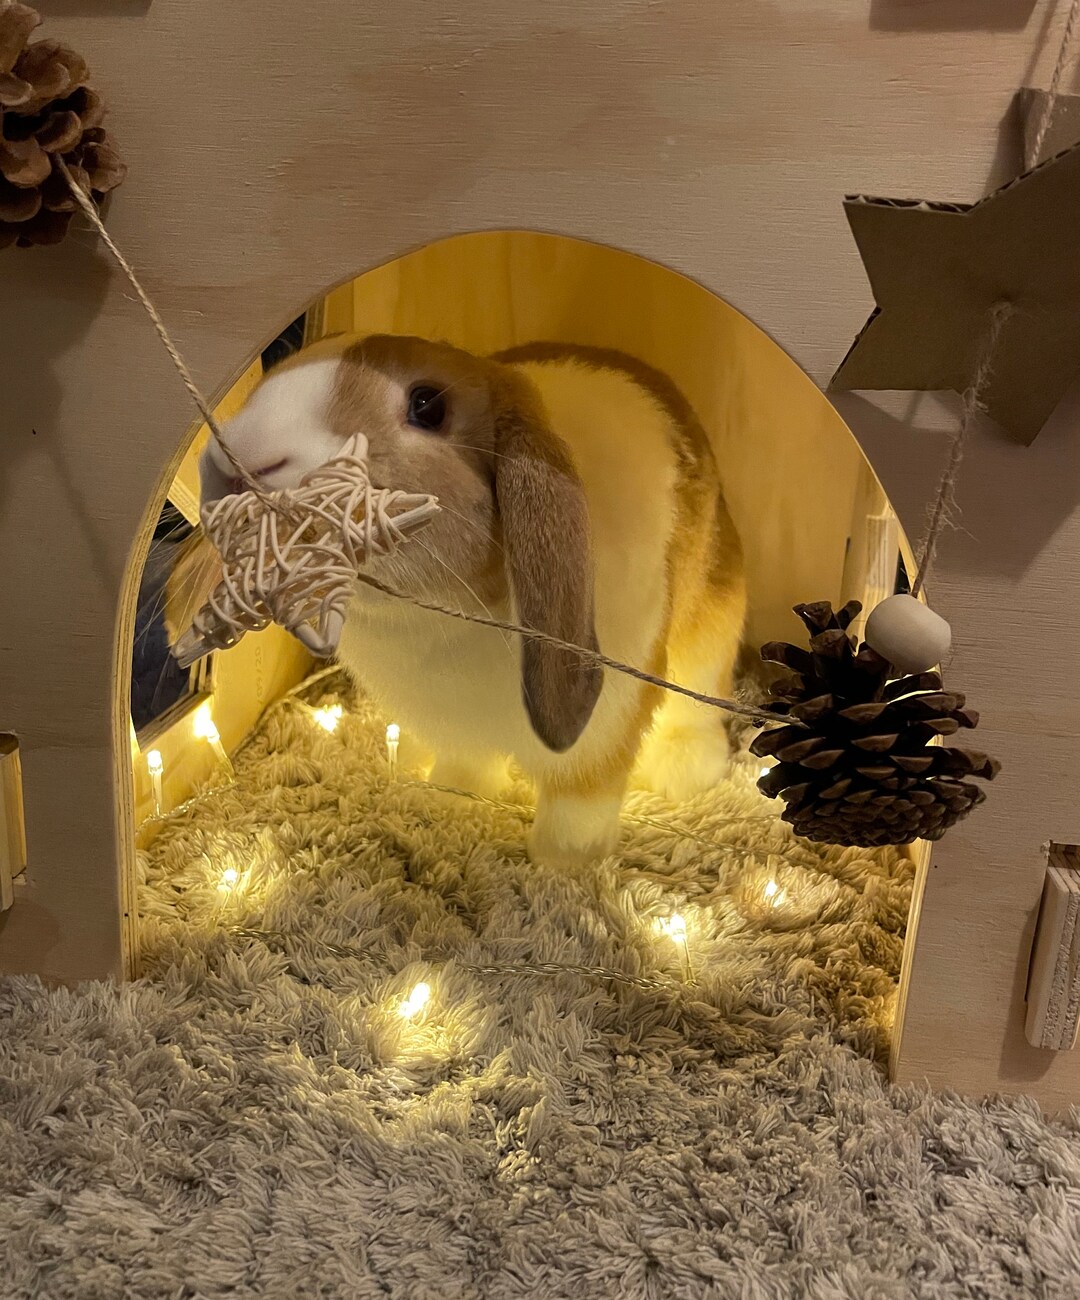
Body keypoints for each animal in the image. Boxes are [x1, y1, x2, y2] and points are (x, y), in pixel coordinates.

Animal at [198, 334, 746, 868]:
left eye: (427, 406)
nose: (235, 458)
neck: (446, 611)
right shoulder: (455, 728)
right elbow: (467, 766)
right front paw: (451, 802)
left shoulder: (604, 727)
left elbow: (580, 800)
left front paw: (564, 866)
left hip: (711, 630)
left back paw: (682, 769)